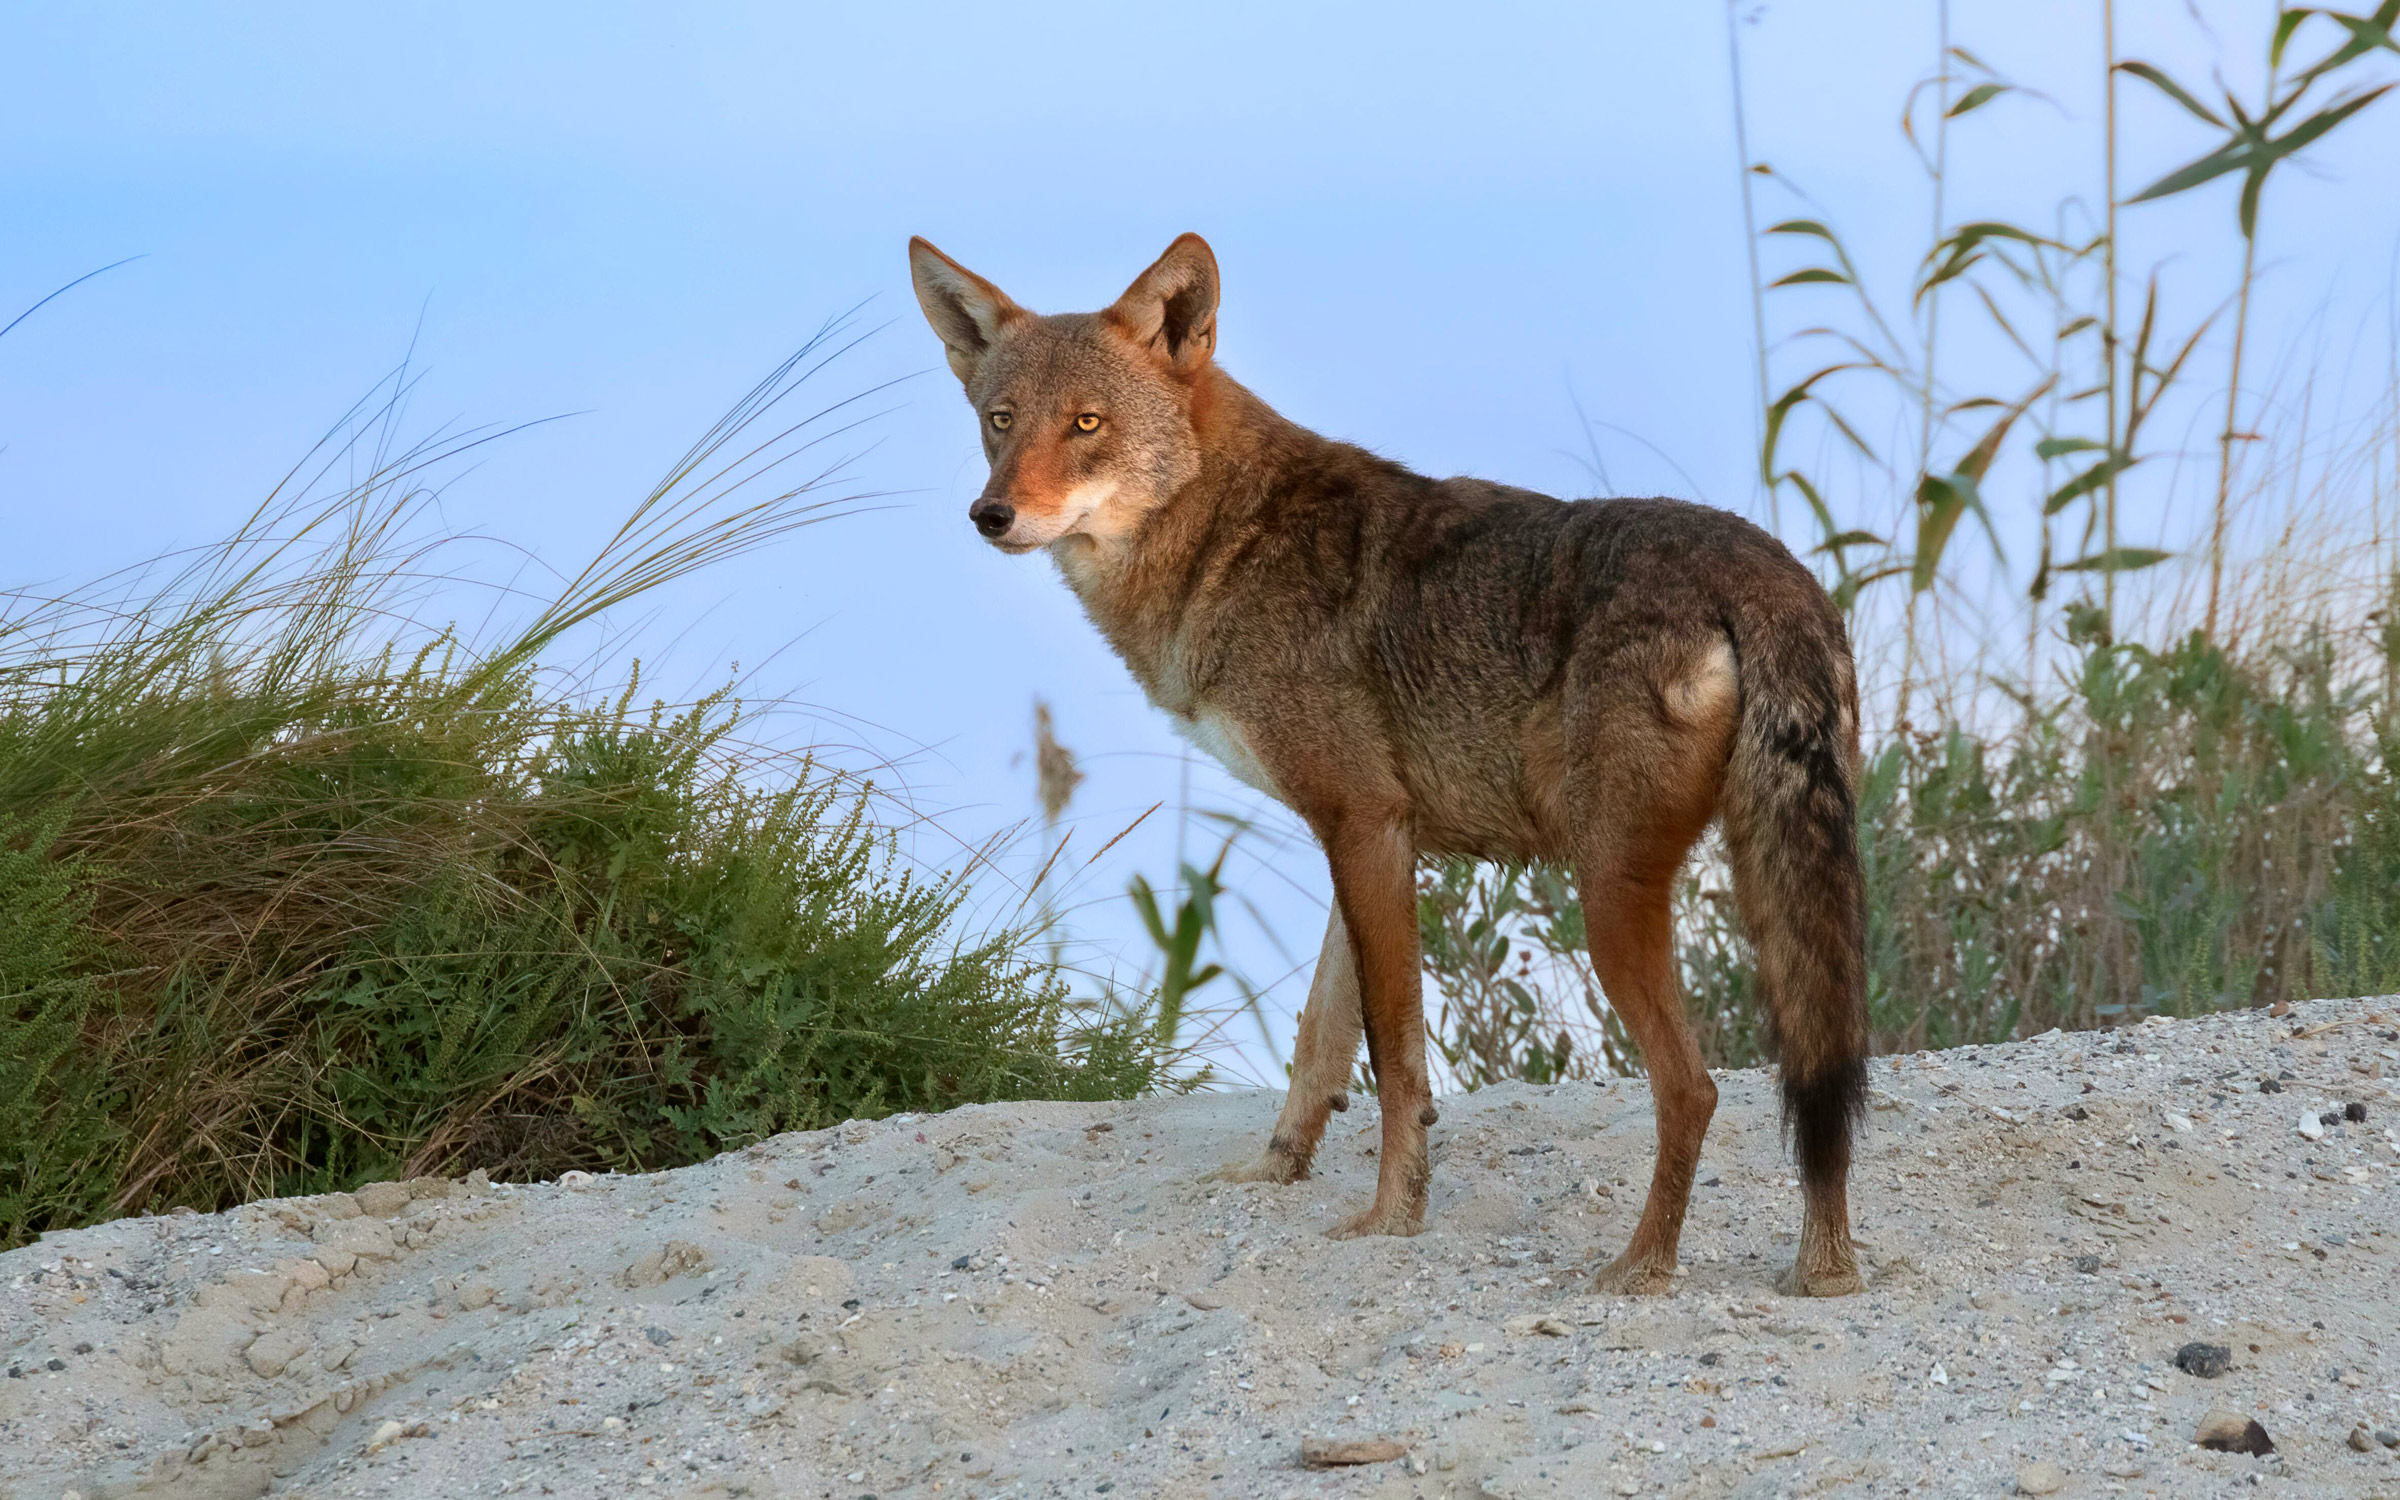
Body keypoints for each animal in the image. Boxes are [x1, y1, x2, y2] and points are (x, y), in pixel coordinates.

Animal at [908, 232, 1868, 1296]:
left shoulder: (1365, 825)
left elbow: (1395, 1055)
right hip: (1774, 888)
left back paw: (1642, 1268)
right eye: (1000, 421)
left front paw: (1391, 1218)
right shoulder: (1363, 832)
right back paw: (1825, 1273)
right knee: (1820, 1079)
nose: (990, 514)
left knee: (1695, 1088)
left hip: (1611, 896)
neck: (1227, 541)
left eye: (1086, 423)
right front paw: (1276, 1169)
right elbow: (1319, 1040)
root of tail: (1761, 567)